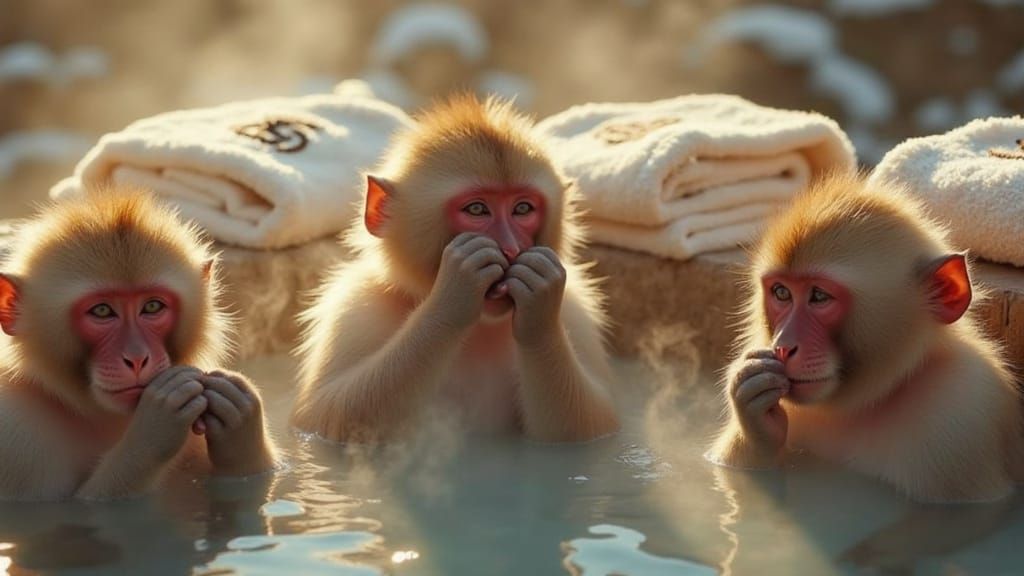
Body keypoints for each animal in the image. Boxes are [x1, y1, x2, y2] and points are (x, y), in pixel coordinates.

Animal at [0, 188, 276, 501]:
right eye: (102, 311)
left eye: (152, 306)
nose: (137, 358)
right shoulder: (13, 432)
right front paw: (153, 431)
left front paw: (240, 419)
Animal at [291, 95, 619, 443]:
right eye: (476, 209)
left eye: (522, 208)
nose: (511, 248)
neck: (482, 325)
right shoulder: (357, 305)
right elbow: (325, 411)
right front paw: (453, 295)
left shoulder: (575, 310)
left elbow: (593, 420)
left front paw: (539, 308)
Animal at [708, 173, 1024, 503]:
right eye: (782, 293)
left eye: (819, 296)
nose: (783, 347)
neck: (869, 399)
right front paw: (755, 420)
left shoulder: (959, 414)